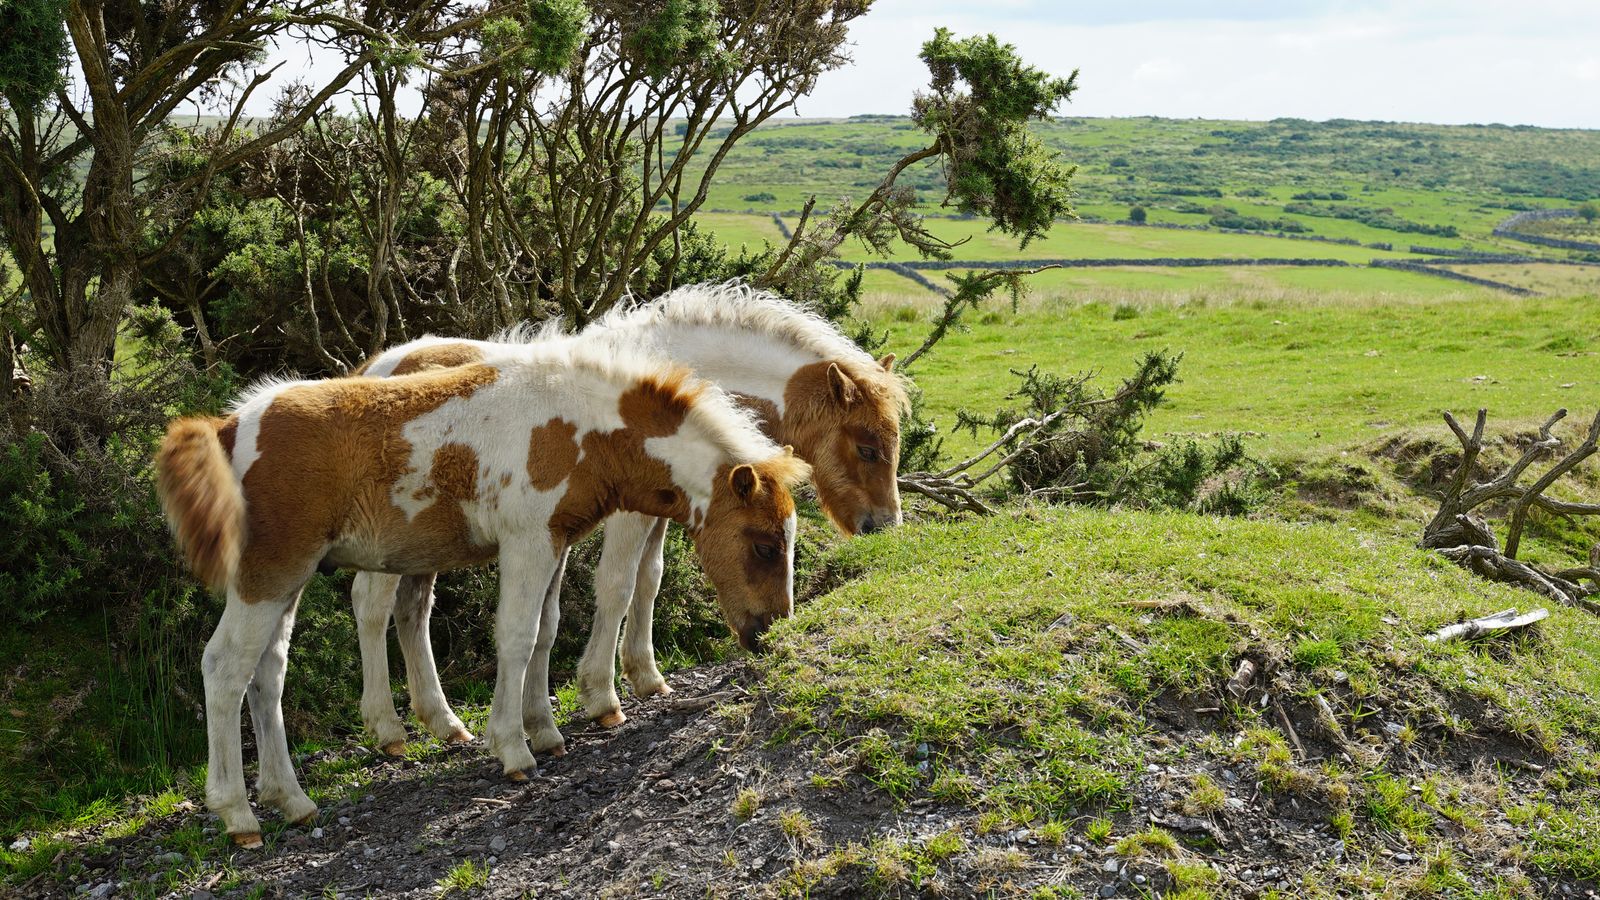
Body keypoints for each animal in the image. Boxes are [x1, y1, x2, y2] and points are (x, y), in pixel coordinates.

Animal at [155, 339, 809, 847]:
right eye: (764, 545)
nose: (771, 628)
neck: (576, 424)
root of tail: (227, 428)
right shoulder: (527, 539)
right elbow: (517, 636)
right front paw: (515, 750)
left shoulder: (556, 540)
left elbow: (546, 631)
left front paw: (546, 731)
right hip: (267, 574)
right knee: (225, 668)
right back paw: (239, 815)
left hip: (290, 579)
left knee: (268, 672)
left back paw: (291, 800)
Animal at [348, 283, 909, 757]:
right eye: (867, 446)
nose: (885, 526)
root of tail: (376, 366)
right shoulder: (628, 513)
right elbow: (617, 585)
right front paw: (601, 697)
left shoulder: (663, 508)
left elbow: (649, 579)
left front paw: (645, 676)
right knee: (371, 606)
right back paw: (389, 730)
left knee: (413, 611)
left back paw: (444, 723)